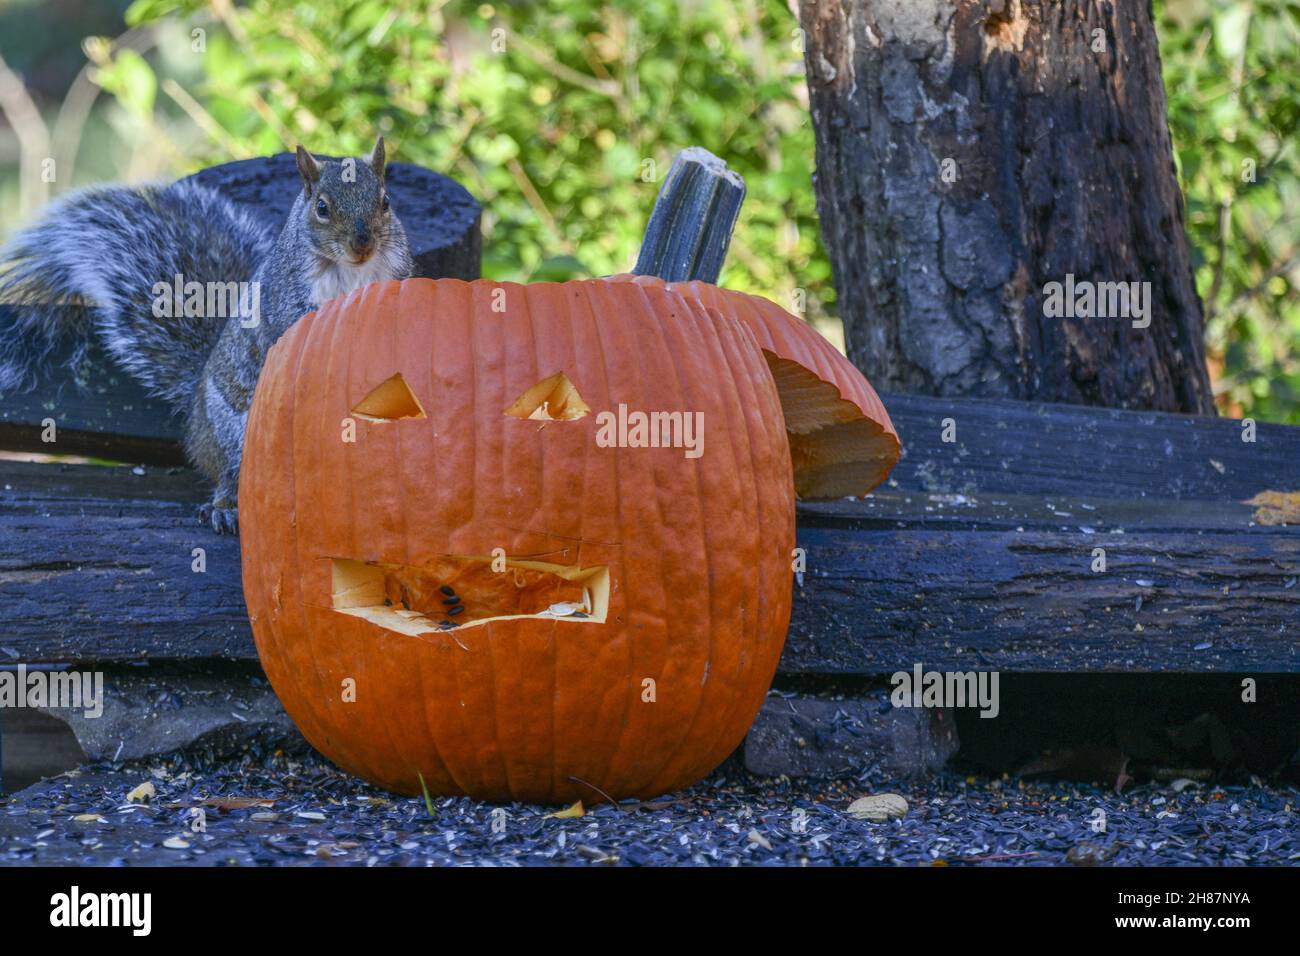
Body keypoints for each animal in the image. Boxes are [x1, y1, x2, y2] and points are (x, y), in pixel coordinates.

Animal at [0, 136, 414, 533]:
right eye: (322, 208)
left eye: (386, 201)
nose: (363, 244)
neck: (351, 273)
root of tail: (197, 420)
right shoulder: (283, 298)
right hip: (236, 439)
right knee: (231, 482)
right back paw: (226, 509)